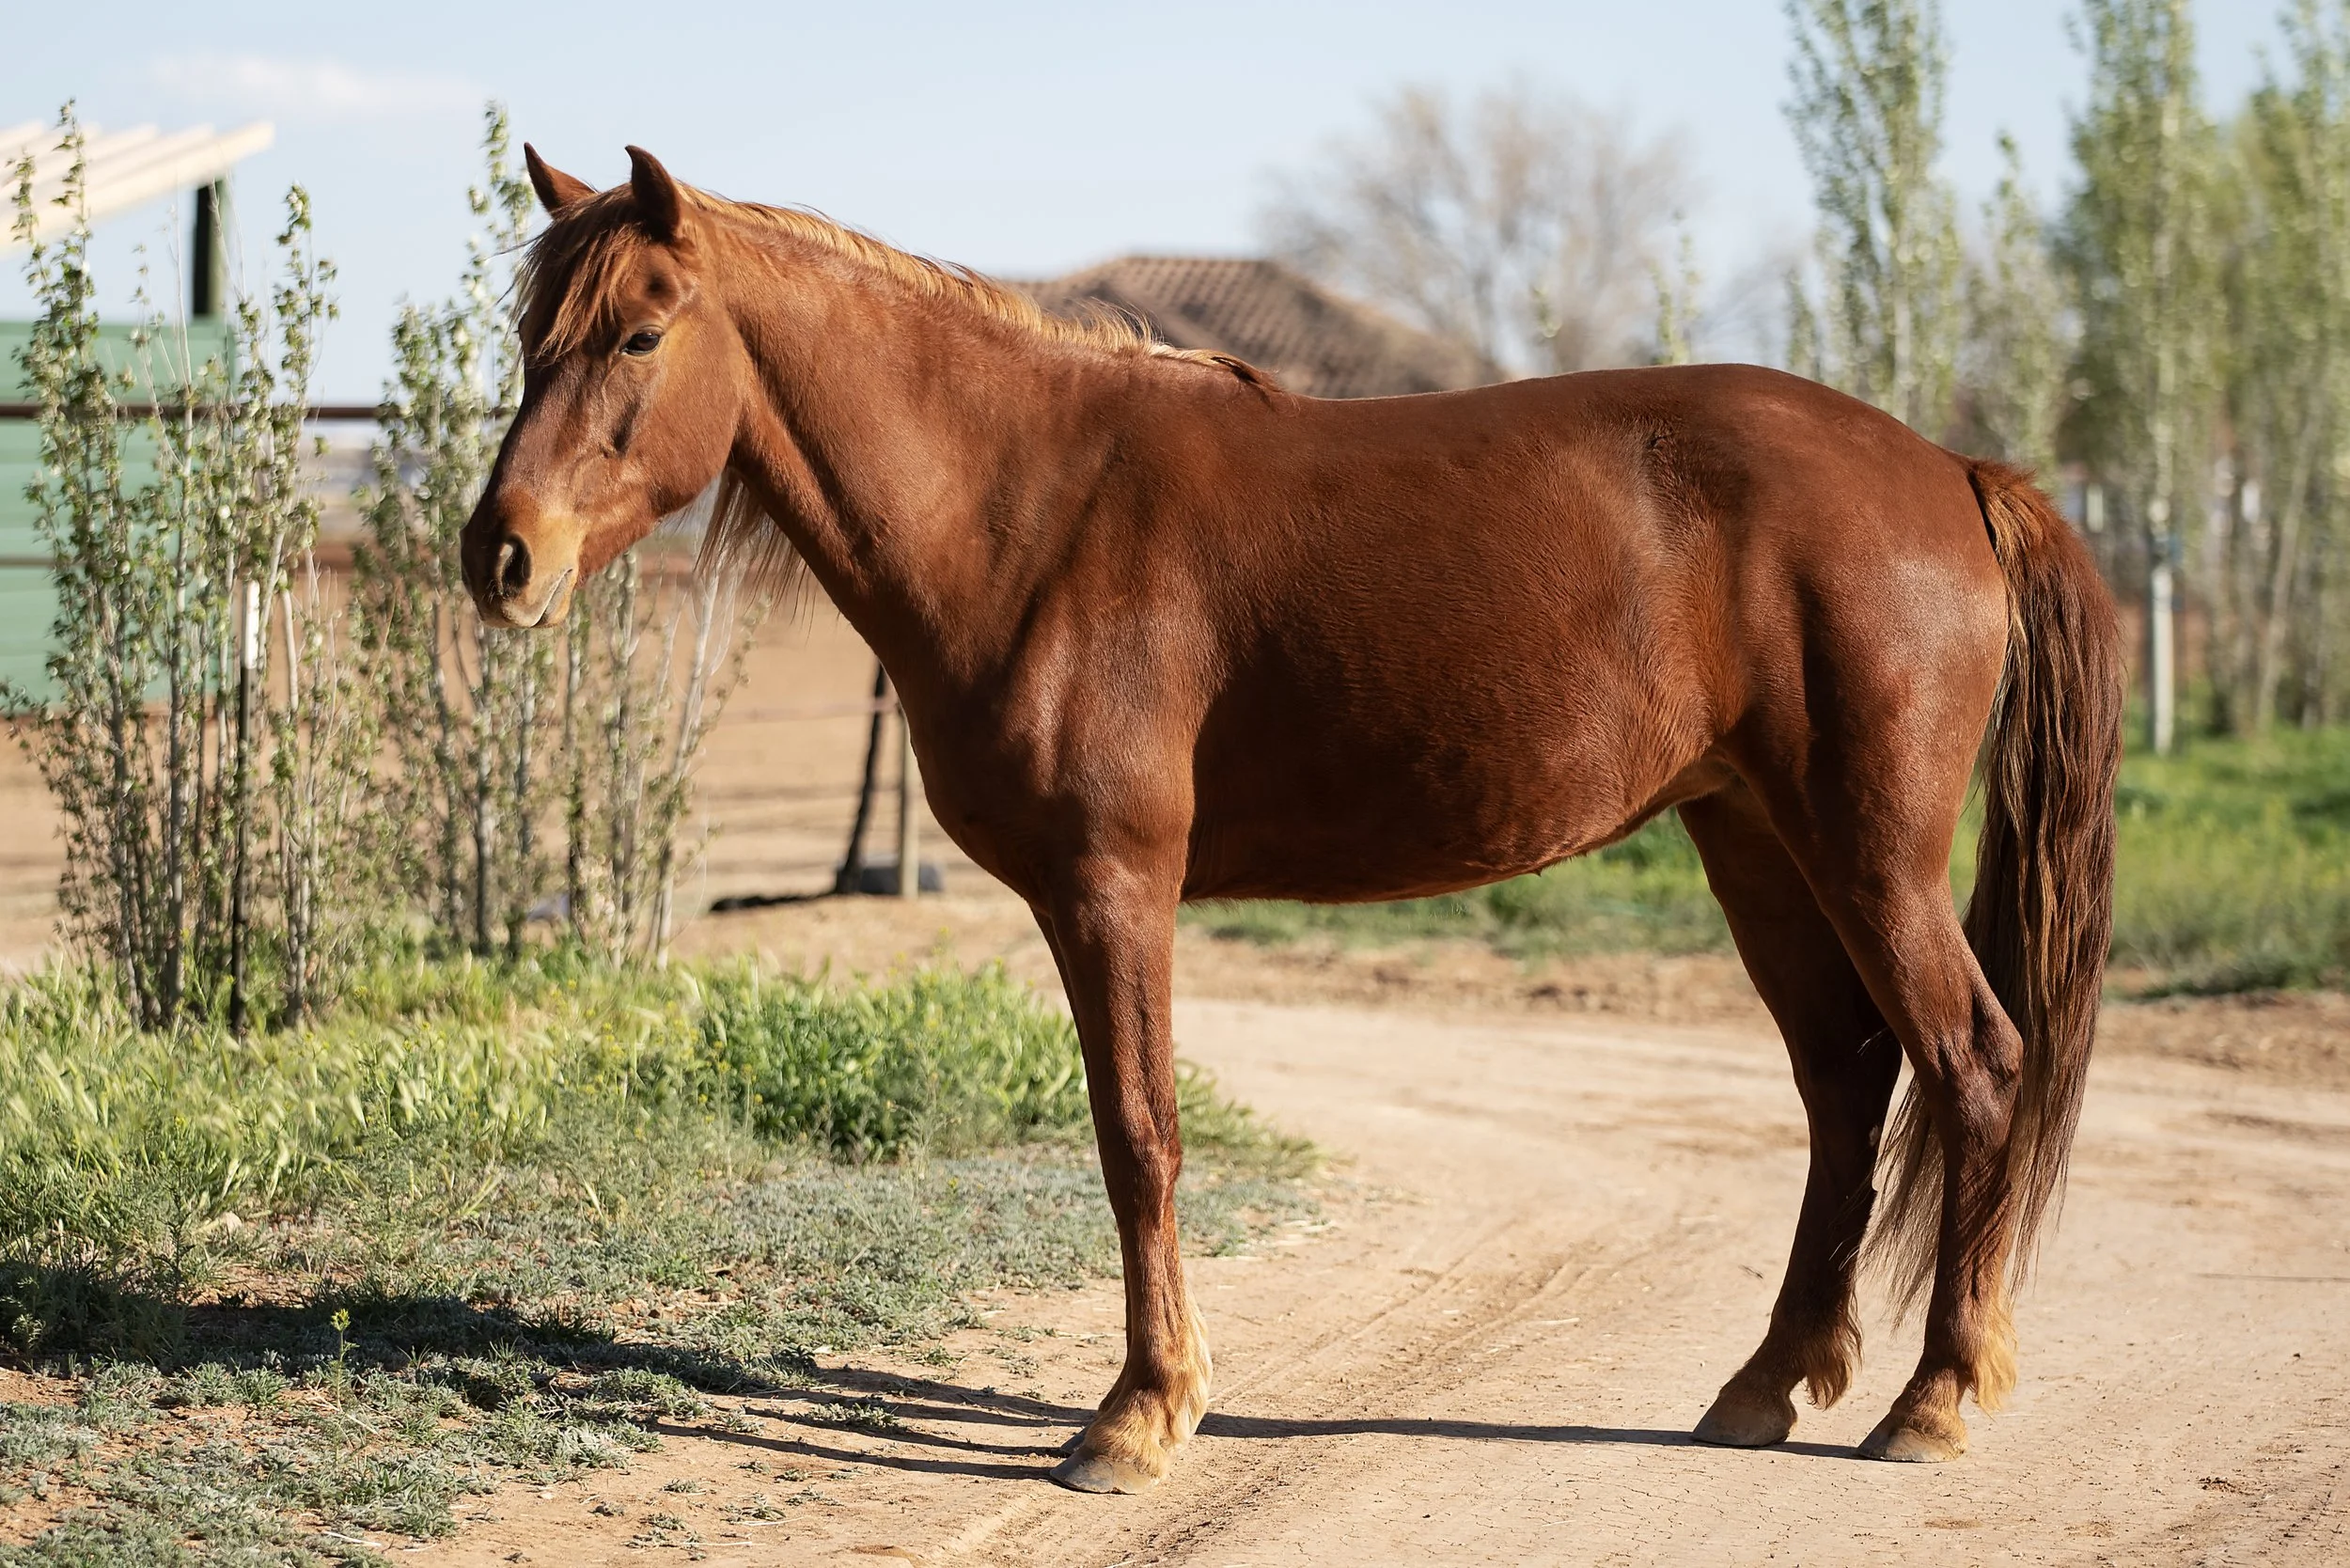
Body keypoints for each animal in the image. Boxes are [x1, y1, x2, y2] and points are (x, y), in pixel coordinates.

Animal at [461, 145, 2122, 1495]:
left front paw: (1139, 1415)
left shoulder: (1112, 890)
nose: (499, 556)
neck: (1032, 513)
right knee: (1845, 1082)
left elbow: (1140, 1136)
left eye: (640, 331)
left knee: (1973, 1064)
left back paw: (1932, 1400)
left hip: (1867, 852)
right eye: (531, 337)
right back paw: (1769, 1383)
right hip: (1756, 845)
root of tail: (1950, 471)